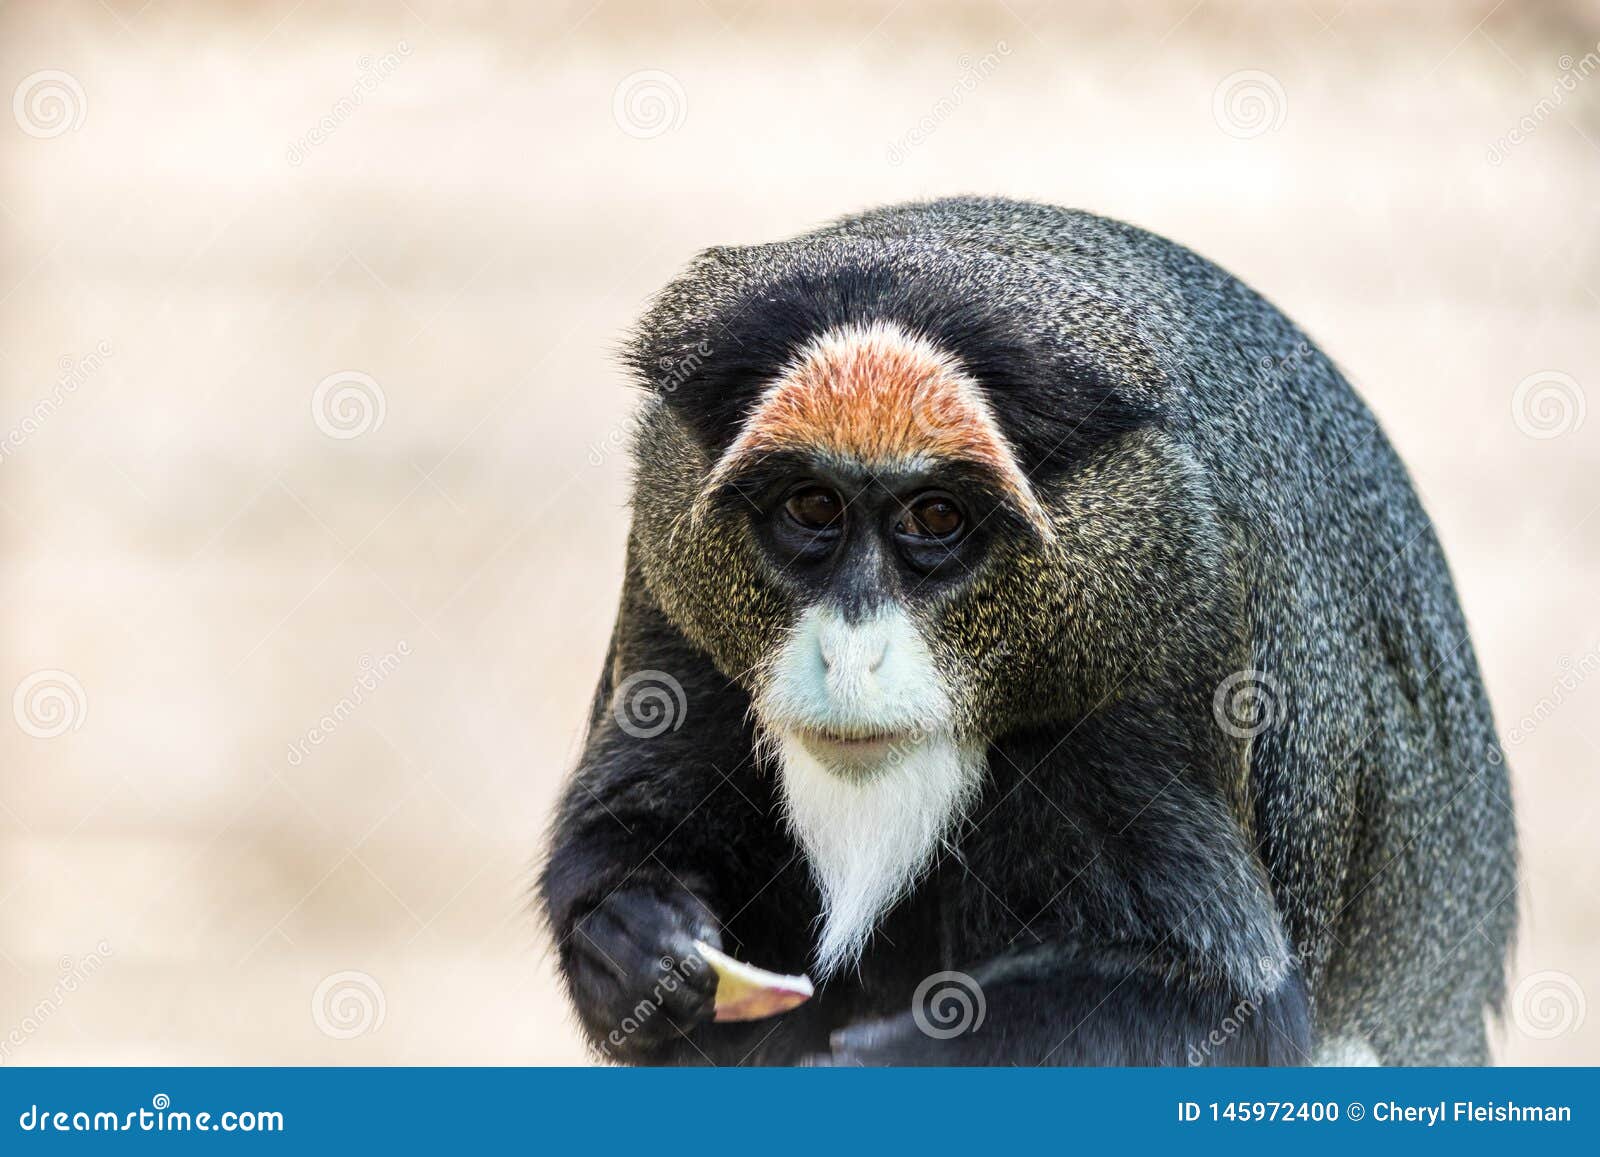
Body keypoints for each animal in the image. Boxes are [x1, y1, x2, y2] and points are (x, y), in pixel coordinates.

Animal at [538, 197, 1517, 1066]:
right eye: (812, 506)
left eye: (935, 517)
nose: (850, 655)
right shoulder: (670, 584)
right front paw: (634, 938)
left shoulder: (1172, 631)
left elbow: (1226, 1003)